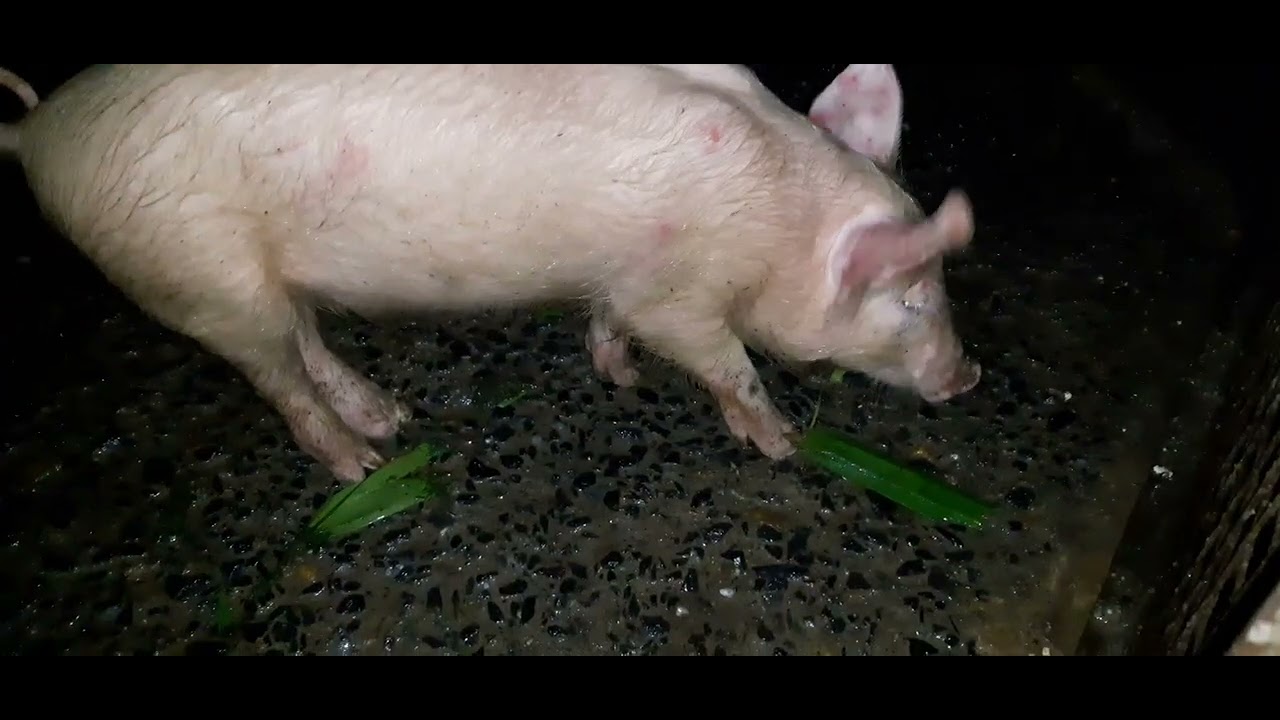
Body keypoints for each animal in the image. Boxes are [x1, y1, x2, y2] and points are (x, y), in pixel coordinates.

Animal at [0, 64, 980, 483]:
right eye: (910, 299)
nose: (967, 377)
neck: (776, 214)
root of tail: (37, 130)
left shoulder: (627, 281)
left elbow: (608, 322)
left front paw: (619, 377)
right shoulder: (681, 297)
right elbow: (730, 367)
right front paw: (781, 446)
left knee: (306, 341)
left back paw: (390, 420)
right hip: (199, 279)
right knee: (281, 379)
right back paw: (363, 466)